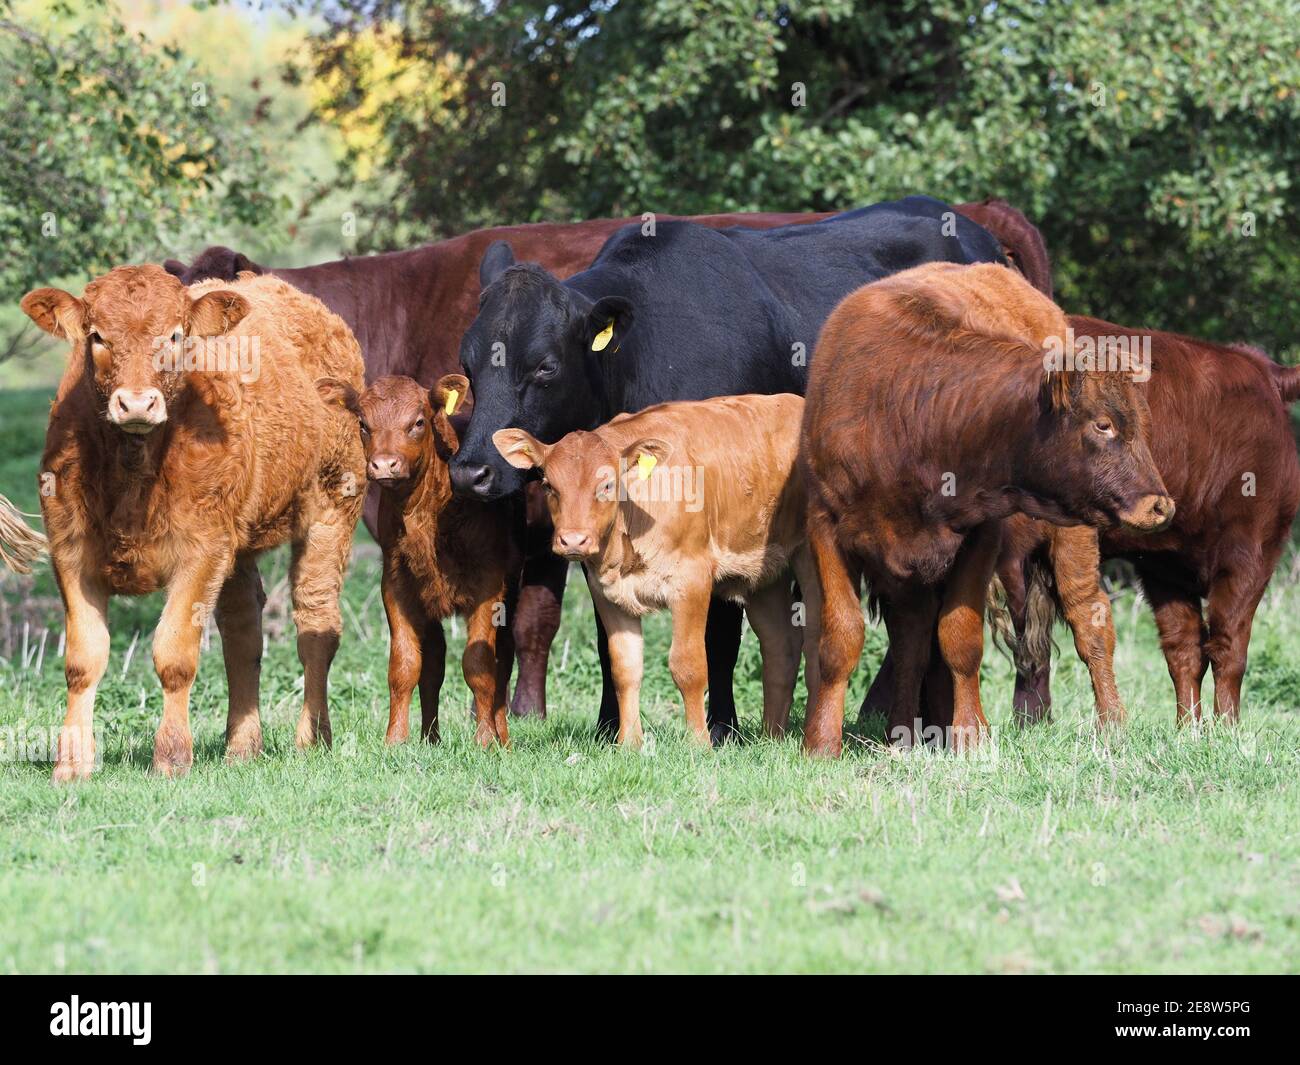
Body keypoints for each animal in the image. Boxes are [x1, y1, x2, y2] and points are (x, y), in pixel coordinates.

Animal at [21, 266, 366, 781]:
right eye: (96, 336)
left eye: (176, 336)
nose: (136, 404)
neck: (133, 470)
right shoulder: (70, 549)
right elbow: (83, 660)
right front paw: (72, 763)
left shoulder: (201, 552)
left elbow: (174, 655)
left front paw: (171, 758)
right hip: (237, 542)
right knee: (243, 632)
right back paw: (242, 746)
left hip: (333, 509)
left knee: (316, 626)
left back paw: (311, 739)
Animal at [316, 373, 519, 748]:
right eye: (363, 423)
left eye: (419, 422)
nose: (384, 464)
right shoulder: (396, 583)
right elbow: (405, 665)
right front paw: (395, 739)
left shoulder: (489, 581)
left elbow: (479, 663)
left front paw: (485, 740)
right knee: (434, 661)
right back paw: (430, 738)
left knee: (504, 658)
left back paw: (503, 738)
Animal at [493, 394, 816, 746]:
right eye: (550, 486)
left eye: (607, 485)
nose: (573, 540)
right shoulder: (607, 593)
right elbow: (624, 668)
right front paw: (629, 743)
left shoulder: (692, 581)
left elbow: (688, 666)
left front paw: (699, 743)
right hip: (763, 577)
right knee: (781, 644)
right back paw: (773, 736)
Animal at [799, 262, 1173, 757]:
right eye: (1103, 424)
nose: (1160, 505)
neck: (908, 411)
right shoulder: (826, 527)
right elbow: (842, 638)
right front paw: (822, 742)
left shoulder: (981, 536)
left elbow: (960, 638)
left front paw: (970, 736)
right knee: (913, 641)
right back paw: (903, 733)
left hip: (1071, 539)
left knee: (1089, 619)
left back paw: (1112, 724)